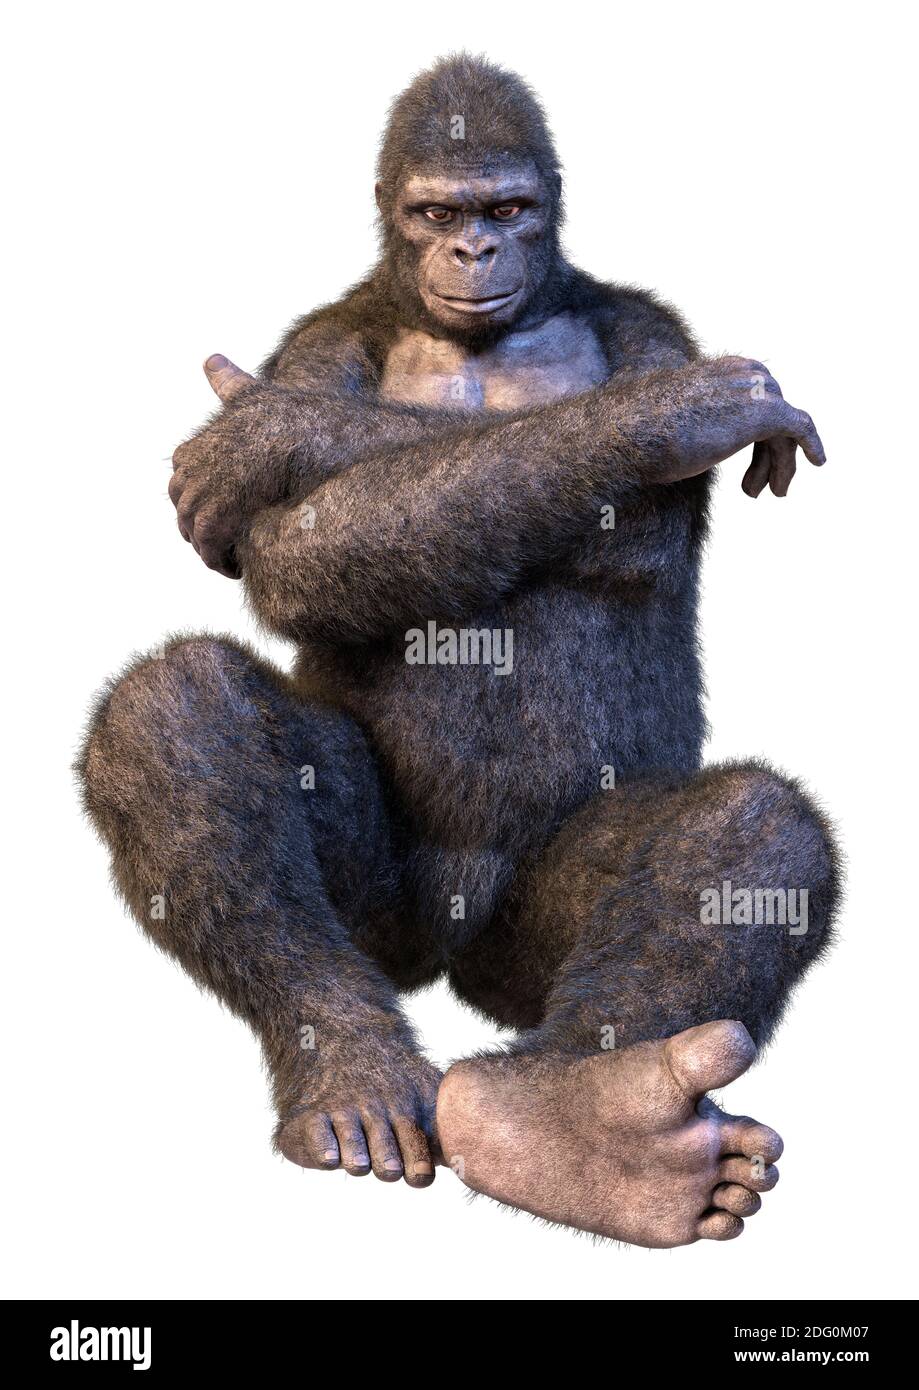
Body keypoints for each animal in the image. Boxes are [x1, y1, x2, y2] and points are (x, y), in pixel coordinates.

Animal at [79, 54, 839, 1248]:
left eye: (507, 211)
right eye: (437, 214)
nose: (472, 252)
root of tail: (445, 956)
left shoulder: (645, 323)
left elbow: (631, 523)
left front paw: (264, 433)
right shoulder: (323, 337)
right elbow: (300, 544)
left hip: (524, 959)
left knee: (755, 823)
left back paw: (582, 1133)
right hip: (380, 924)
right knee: (175, 707)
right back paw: (354, 1071)